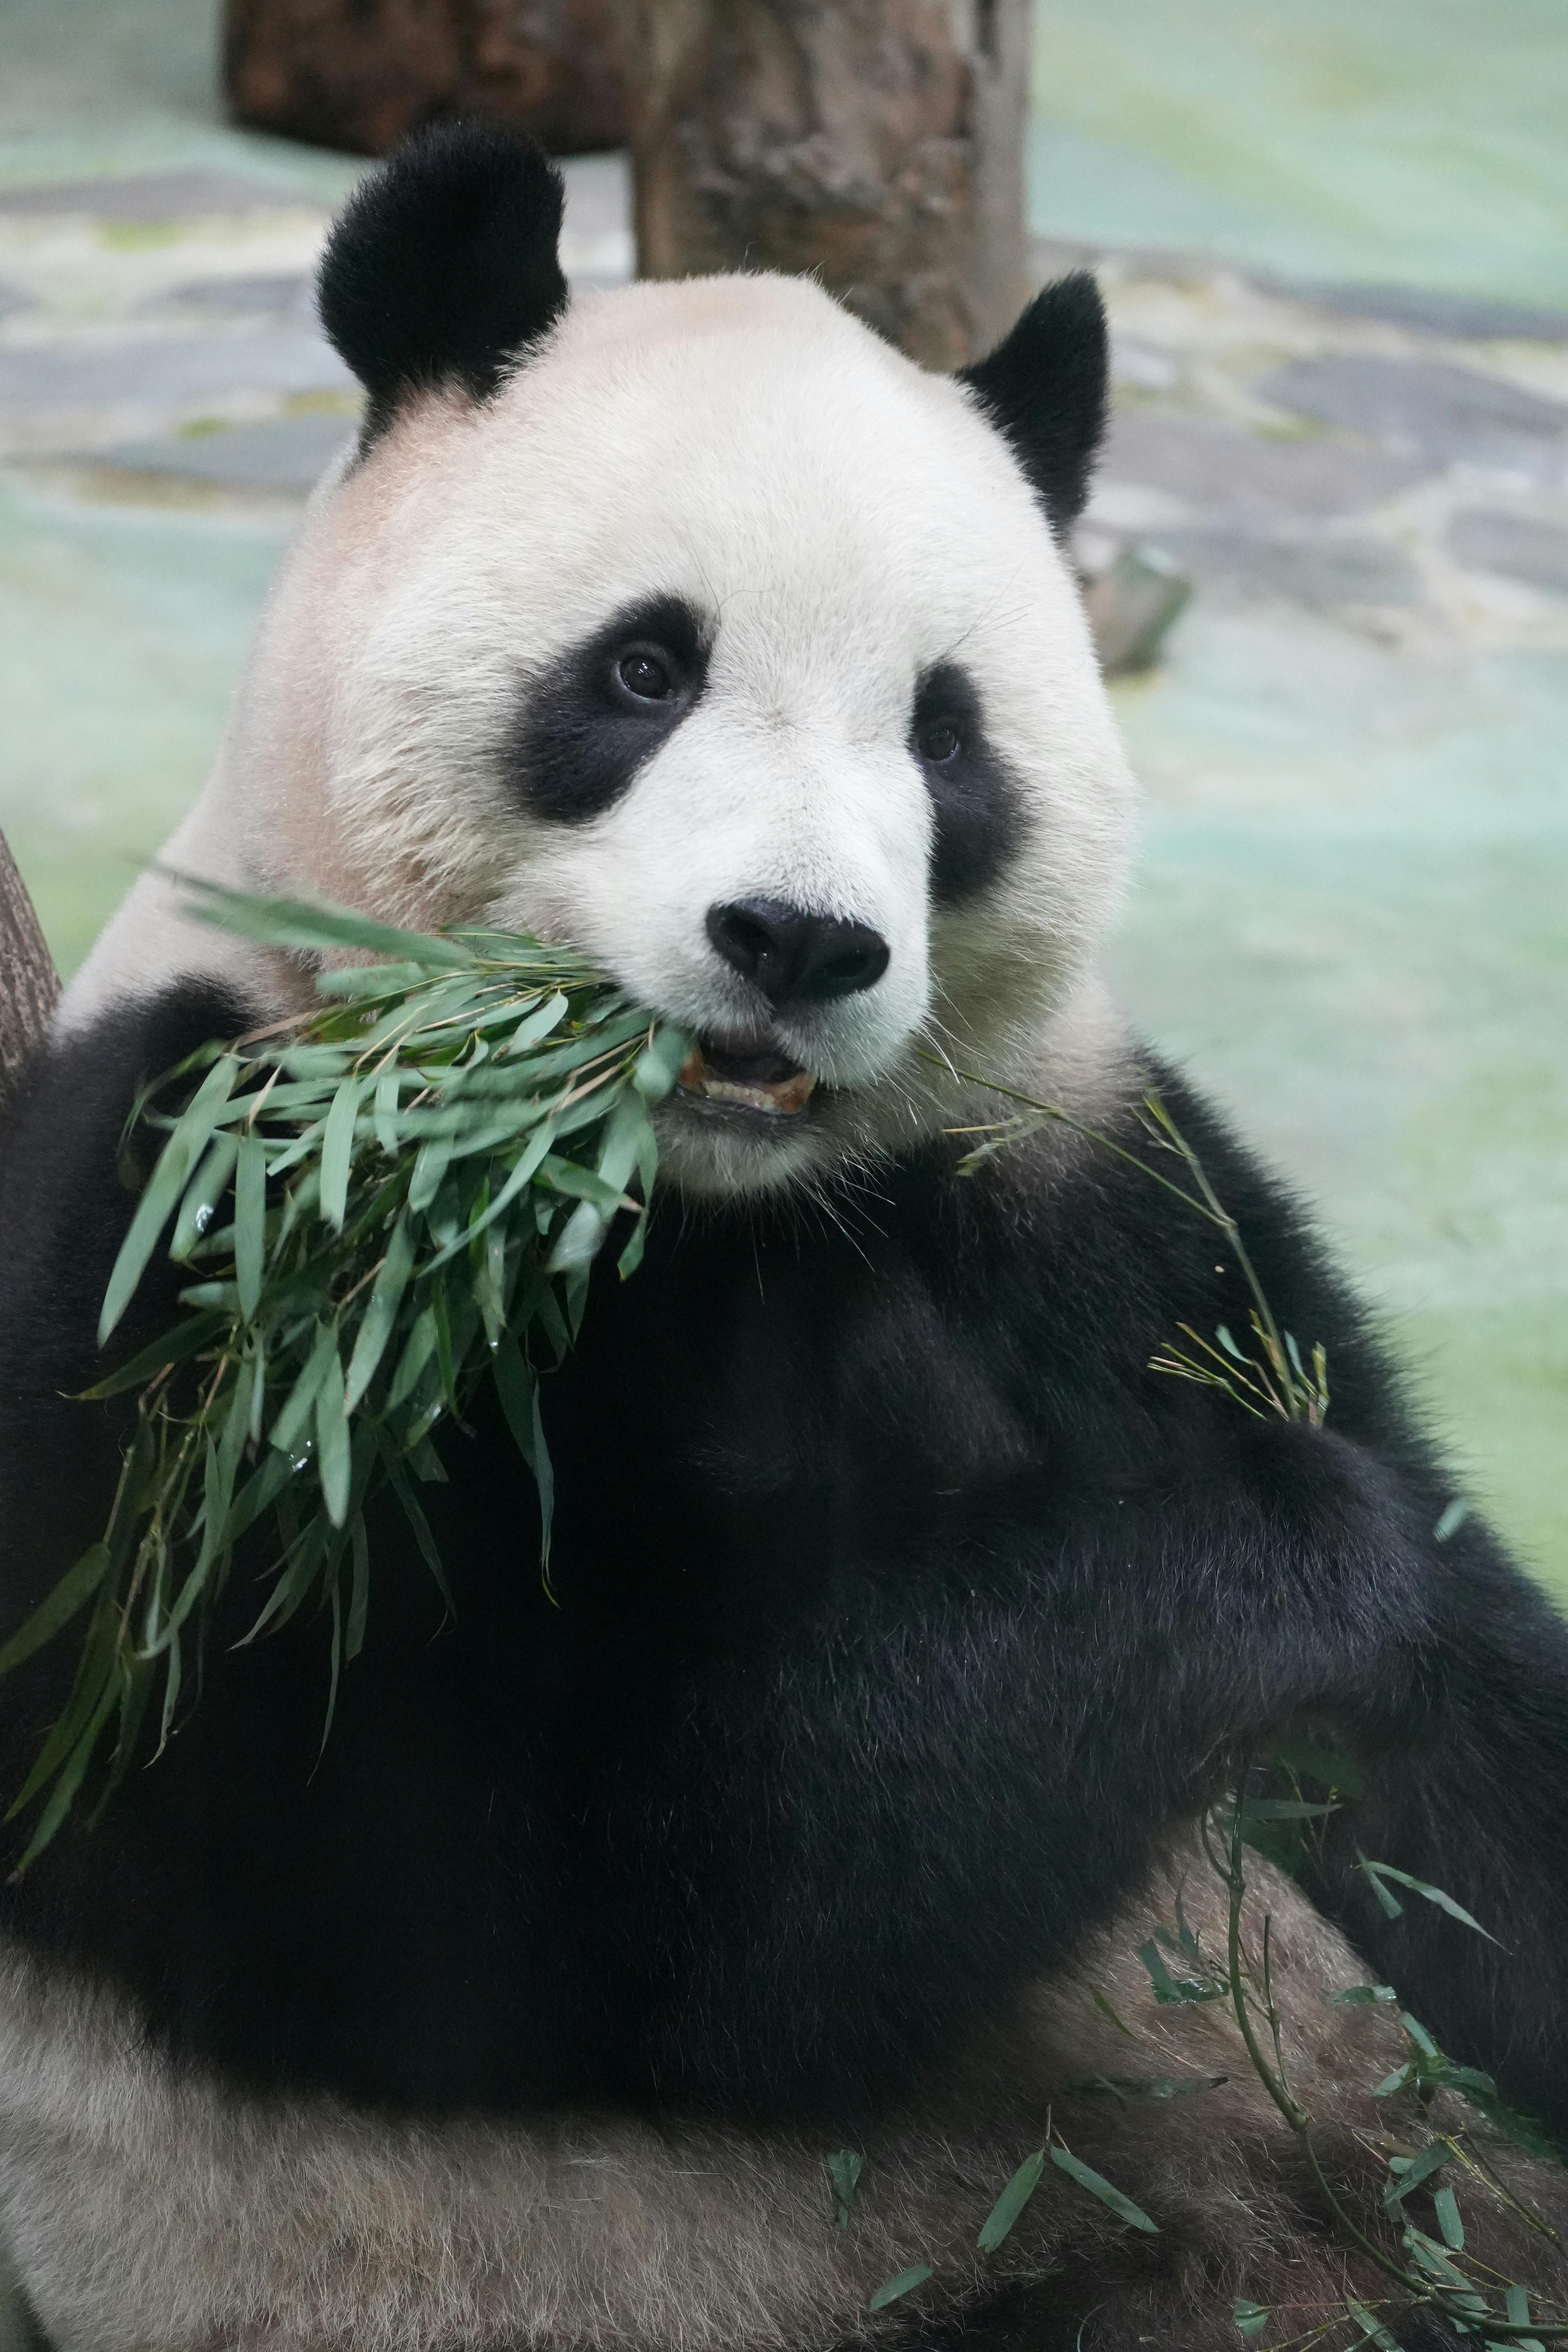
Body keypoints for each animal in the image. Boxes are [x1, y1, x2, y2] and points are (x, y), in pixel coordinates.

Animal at [2, 120, 1568, 2352]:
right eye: (646, 668)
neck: (696, 1203)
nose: (797, 942)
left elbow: (1463, 1744)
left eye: (945, 732)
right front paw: (1287, 1536)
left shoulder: (1075, 1193)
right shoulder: (225, 1274)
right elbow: (570, 1909)